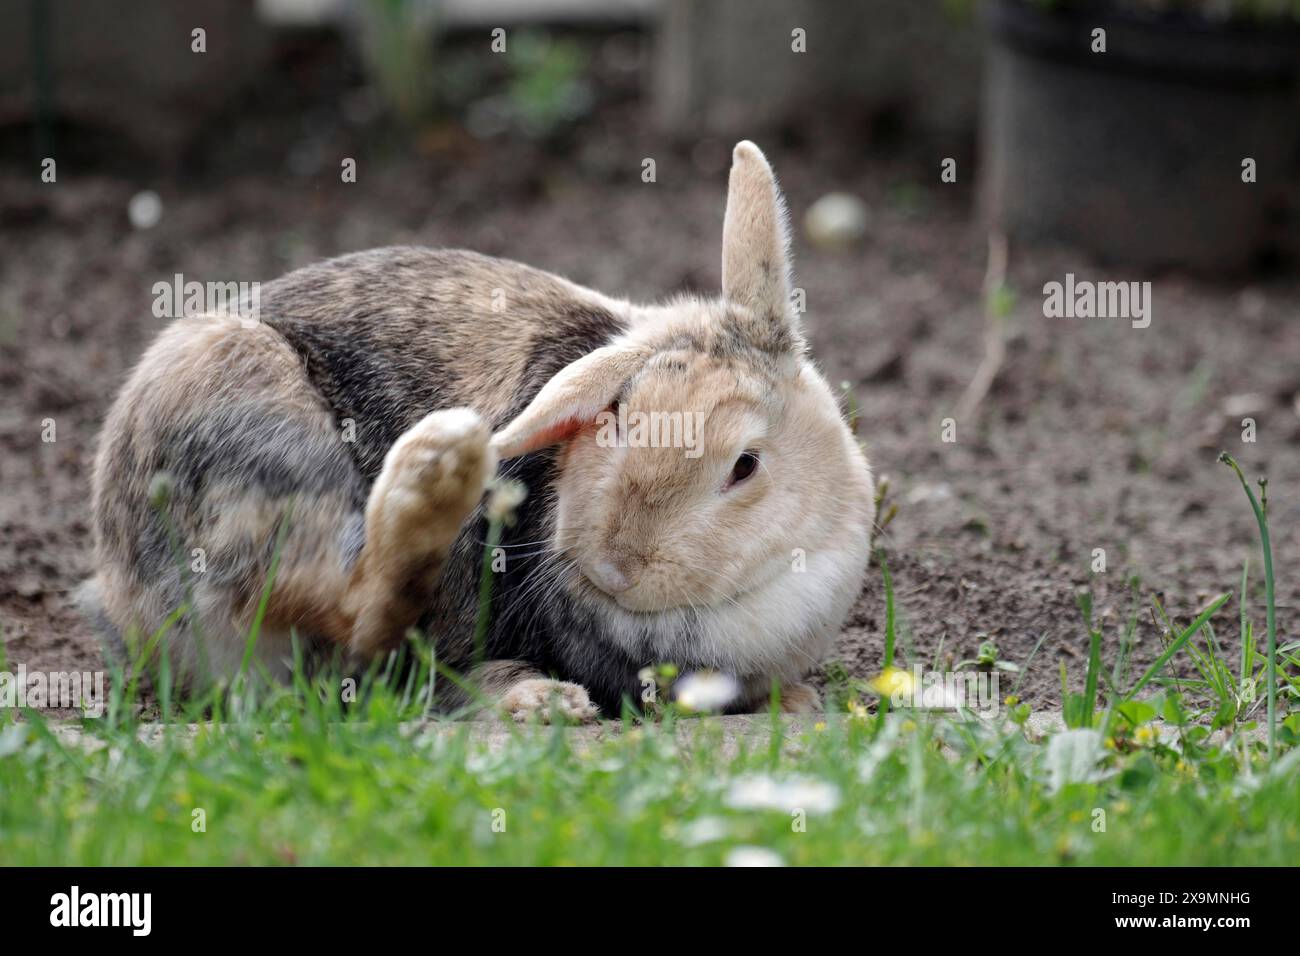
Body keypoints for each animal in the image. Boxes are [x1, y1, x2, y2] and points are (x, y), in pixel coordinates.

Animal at [84, 141, 875, 721]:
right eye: (619, 415)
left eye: (745, 465)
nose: (615, 566)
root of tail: (129, 597)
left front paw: (797, 699)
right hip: (266, 447)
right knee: (359, 613)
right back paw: (439, 476)